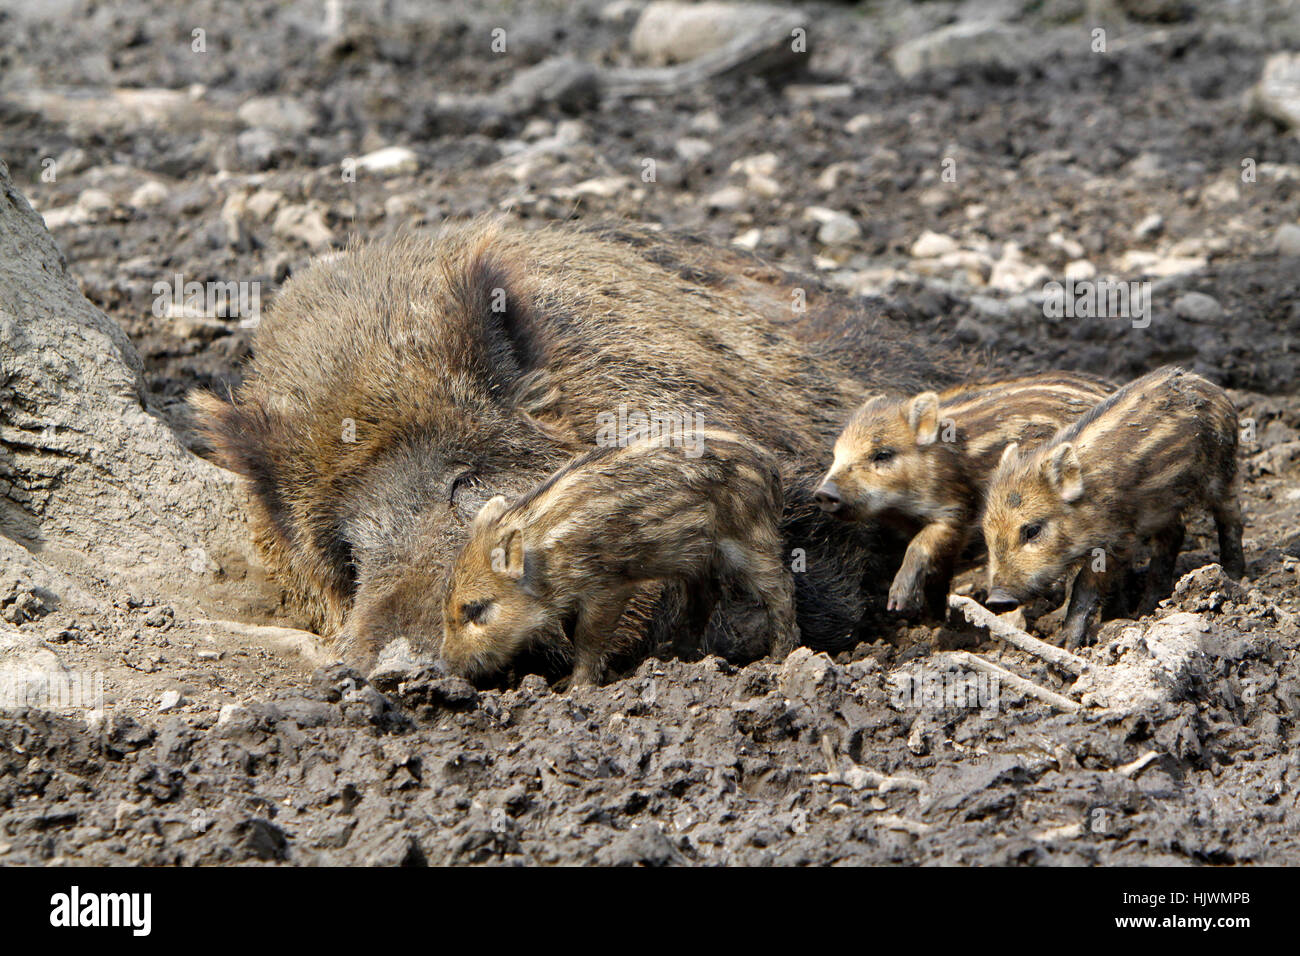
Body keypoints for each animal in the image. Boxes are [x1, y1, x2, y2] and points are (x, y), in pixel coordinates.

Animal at [441, 429, 799, 685]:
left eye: (477, 609)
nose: (445, 667)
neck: (548, 555)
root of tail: (770, 466)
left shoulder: (608, 585)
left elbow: (587, 637)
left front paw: (573, 688)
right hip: (694, 556)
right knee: (705, 596)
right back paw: (669, 656)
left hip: (748, 537)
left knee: (780, 588)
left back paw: (778, 659)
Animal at [814, 372, 1114, 616]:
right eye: (836, 454)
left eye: (882, 454)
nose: (824, 493)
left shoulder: (955, 511)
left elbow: (922, 545)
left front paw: (897, 603)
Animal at [982, 366, 1246, 648]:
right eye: (987, 534)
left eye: (1032, 530)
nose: (996, 600)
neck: (1089, 501)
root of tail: (1214, 388)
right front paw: (1113, 616)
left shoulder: (1117, 537)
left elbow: (1085, 584)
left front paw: (1066, 643)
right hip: (1163, 505)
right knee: (1174, 535)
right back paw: (1147, 609)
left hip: (1222, 472)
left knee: (1231, 516)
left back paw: (1234, 575)